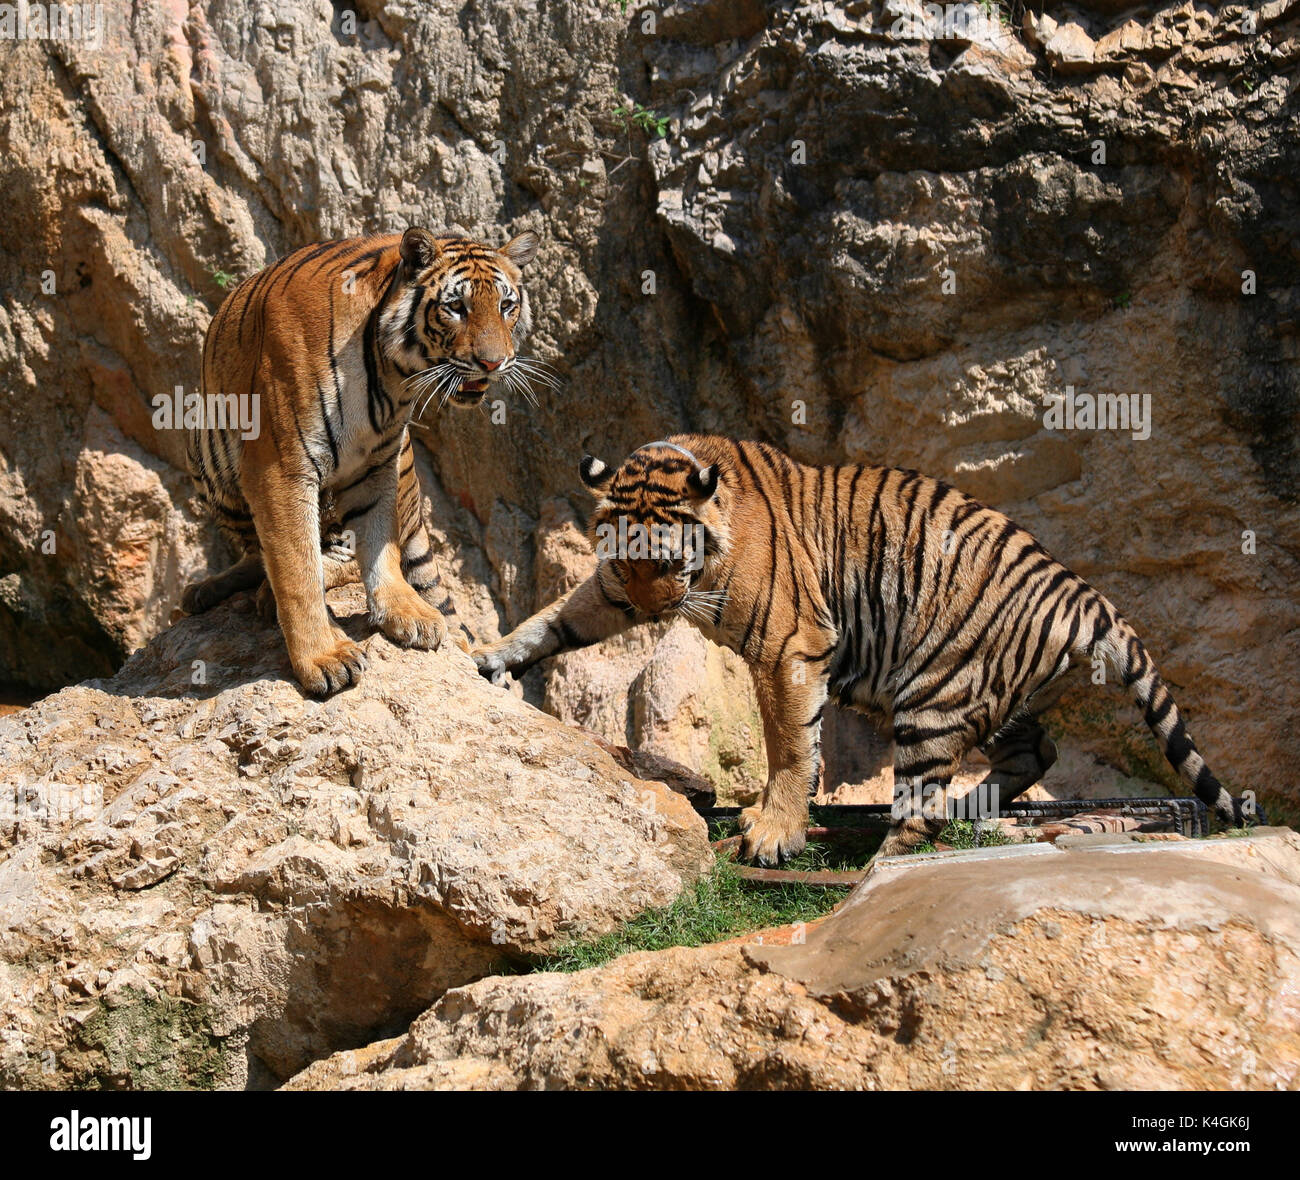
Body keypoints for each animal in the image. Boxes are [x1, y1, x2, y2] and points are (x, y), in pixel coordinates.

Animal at [181, 226, 545, 696]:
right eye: (456, 308)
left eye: (506, 306)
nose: (493, 362)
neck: (392, 374)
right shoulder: (280, 469)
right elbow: (296, 571)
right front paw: (323, 657)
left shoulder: (378, 463)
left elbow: (378, 545)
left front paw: (405, 613)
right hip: (205, 450)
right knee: (268, 554)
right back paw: (208, 590)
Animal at [471, 434, 1250, 864]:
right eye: (627, 561)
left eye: (665, 562)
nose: (651, 609)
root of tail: (1089, 600)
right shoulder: (607, 591)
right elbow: (555, 620)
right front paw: (490, 658)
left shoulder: (789, 645)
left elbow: (790, 746)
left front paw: (773, 832)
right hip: (999, 698)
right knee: (1038, 751)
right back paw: (972, 807)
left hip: (935, 691)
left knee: (919, 812)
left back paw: (878, 871)